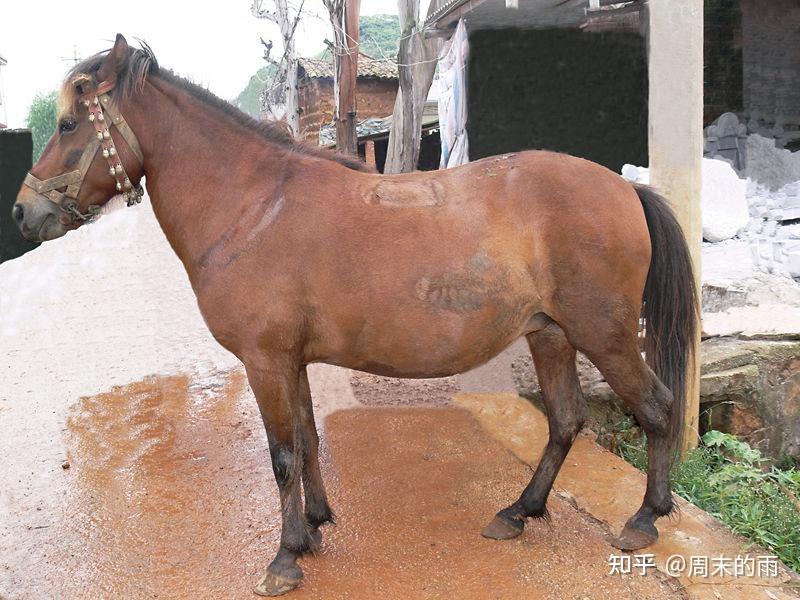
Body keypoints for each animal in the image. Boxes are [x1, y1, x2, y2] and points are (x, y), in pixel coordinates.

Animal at [13, 35, 697, 596]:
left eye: (68, 123)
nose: (23, 213)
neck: (252, 206)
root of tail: (624, 187)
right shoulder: (289, 361)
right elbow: (308, 440)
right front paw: (313, 528)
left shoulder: (265, 361)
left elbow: (283, 454)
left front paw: (285, 558)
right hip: (550, 334)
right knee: (565, 420)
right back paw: (518, 512)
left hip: (606, 336)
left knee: (656, 408)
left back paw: (644, 519)